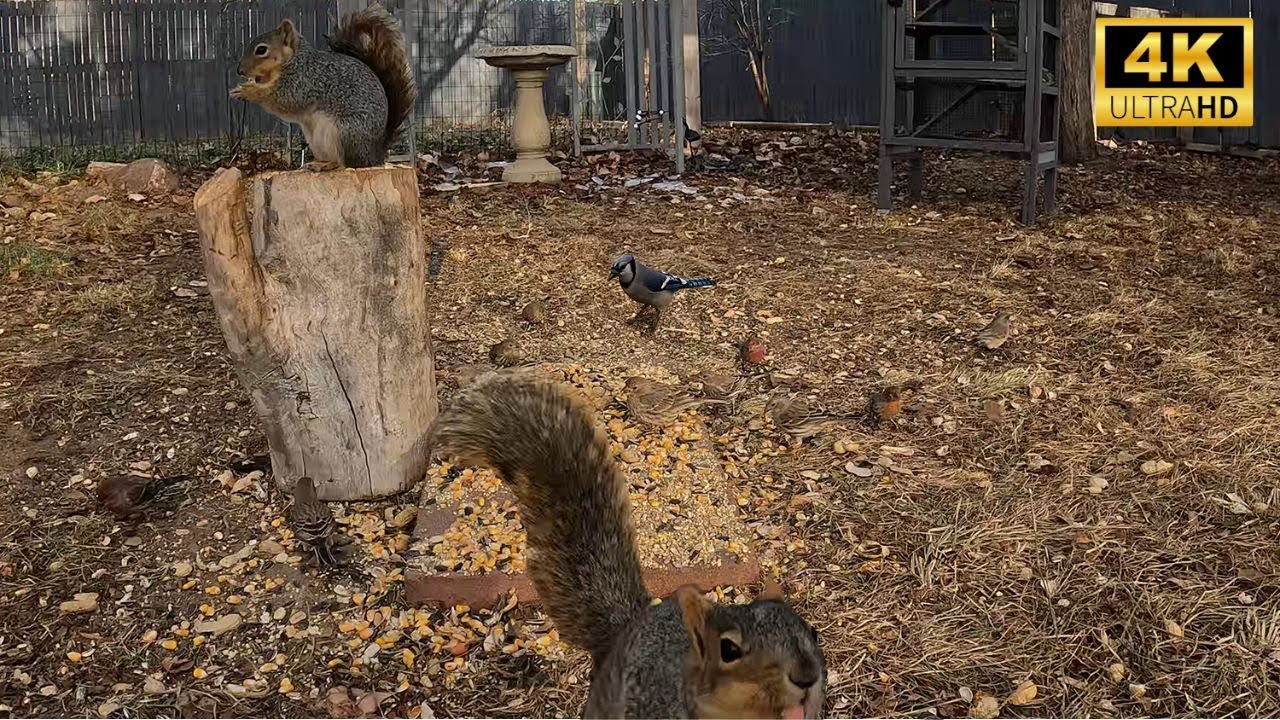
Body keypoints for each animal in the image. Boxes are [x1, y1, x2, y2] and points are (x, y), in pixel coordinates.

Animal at [231, 3, 417, 169]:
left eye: (261, 50)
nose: (240, 70)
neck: (294, 61)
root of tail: (375, 154)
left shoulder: (305, 82)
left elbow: (285, 100)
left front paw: (249, 91)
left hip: (346, 133)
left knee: (345, 164)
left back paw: (327, 165)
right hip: (316, 140)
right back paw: (317, 163)